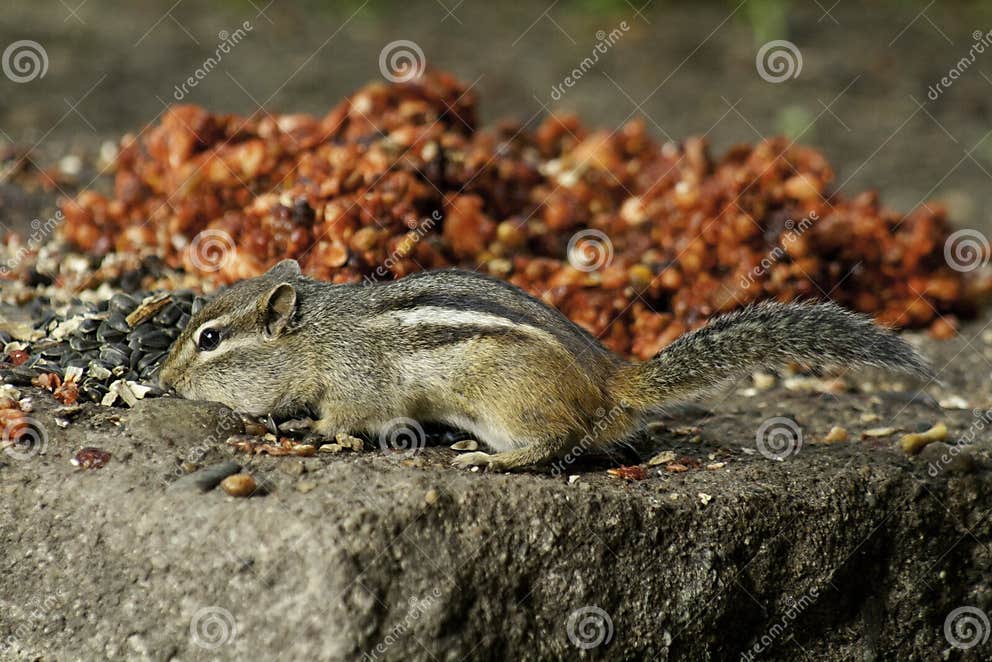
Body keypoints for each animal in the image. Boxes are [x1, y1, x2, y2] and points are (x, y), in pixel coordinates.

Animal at [158, 259, 932, 471]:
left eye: (209, 340)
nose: (163, 382)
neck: (319, 334)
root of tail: (612, 381)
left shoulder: (358, 383)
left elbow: (350, 418)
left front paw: (312, 430)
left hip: (509, 407)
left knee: (556, 443)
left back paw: (489, 460)